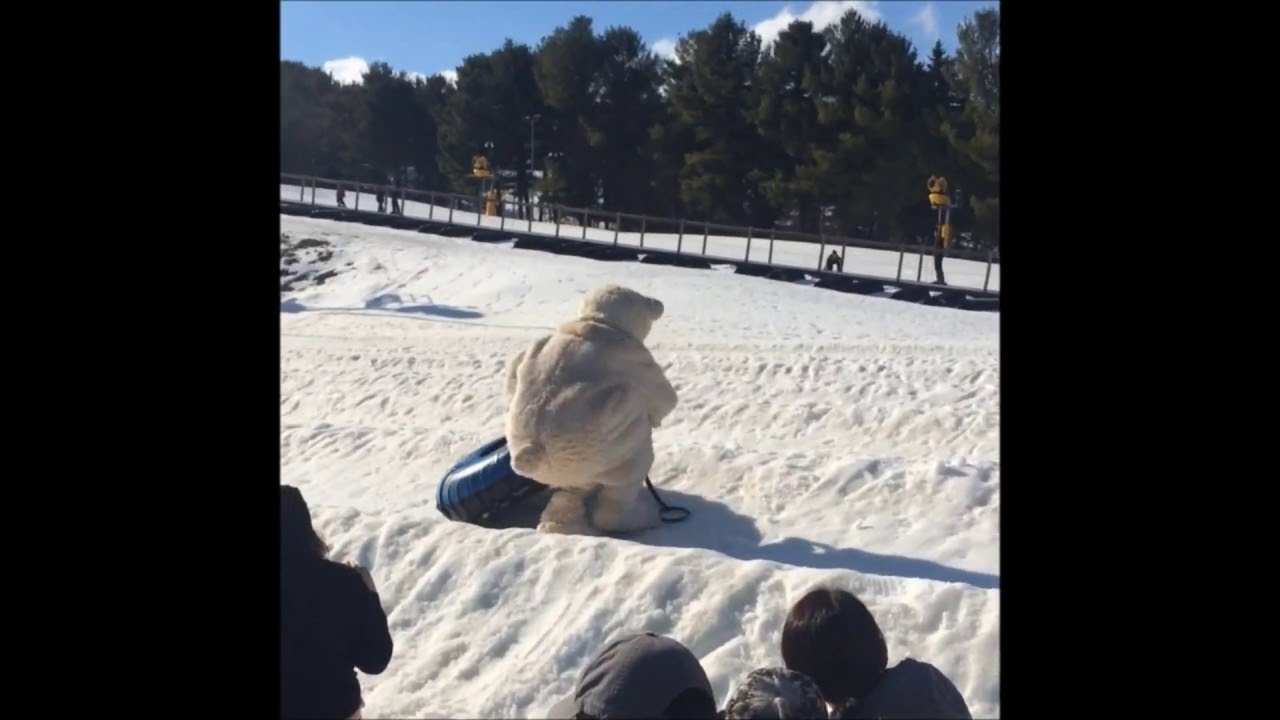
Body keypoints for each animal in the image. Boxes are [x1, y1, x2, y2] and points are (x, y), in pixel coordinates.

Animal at [504, 284, 678, 535]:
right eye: (643, 300)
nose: (659, 304)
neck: (595, 322)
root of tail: (533, 451)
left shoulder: (534, 347)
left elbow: (513, 376)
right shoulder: (637, 358)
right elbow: (664, 397)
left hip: (570, 469)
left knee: (569, 492)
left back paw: (559, 527)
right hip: (610, 456)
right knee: (623, 485)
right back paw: (635, 520)